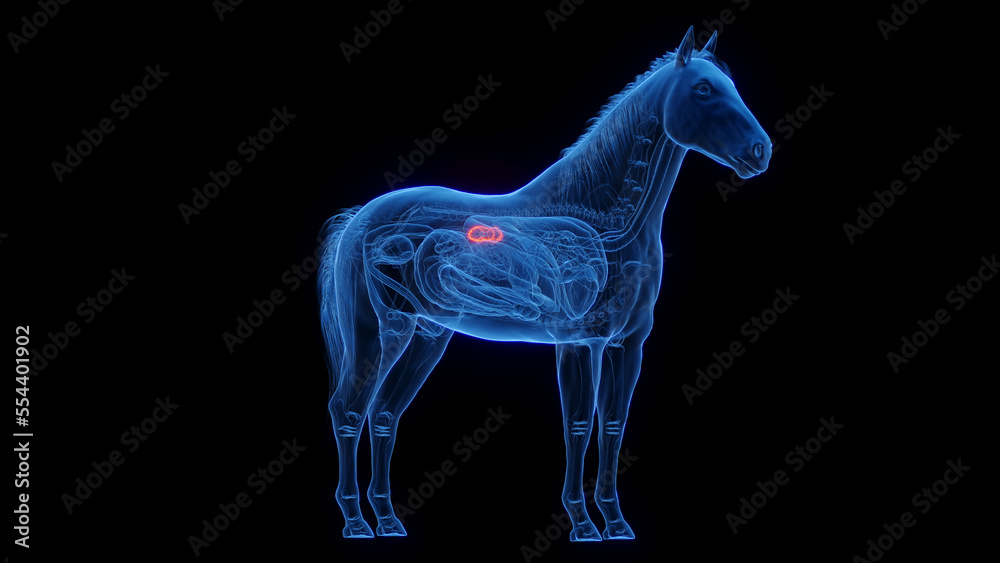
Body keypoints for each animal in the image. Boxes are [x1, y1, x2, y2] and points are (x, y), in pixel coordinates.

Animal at [318, 26, 771, 541]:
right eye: (703, 89)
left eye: (732, 85)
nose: (761, 151)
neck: (603, 224)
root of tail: (359, 220)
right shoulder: (580, 341)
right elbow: (578, 424)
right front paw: (583, 524)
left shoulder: (627, 345)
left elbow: (612, 425)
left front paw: (615, 523)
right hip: (381, 330)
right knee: (348, 411)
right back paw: (356, 523)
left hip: (427, 335)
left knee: (384, 415)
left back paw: (388, 521)